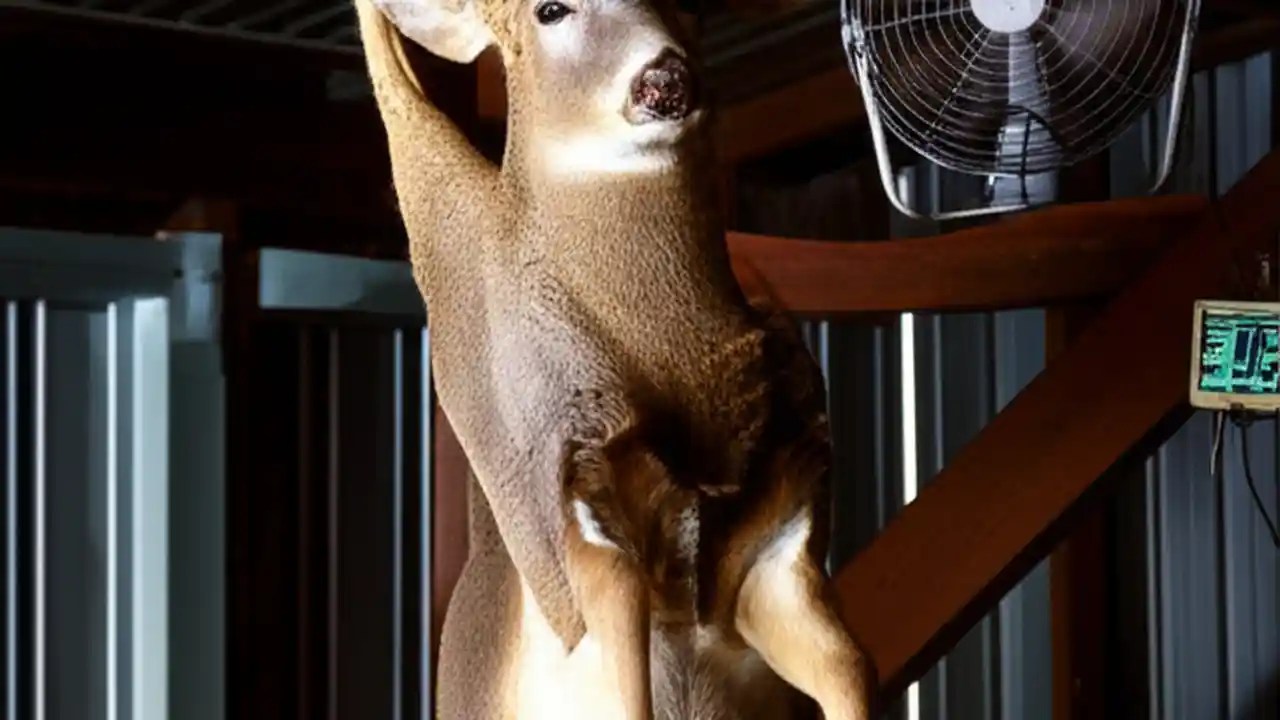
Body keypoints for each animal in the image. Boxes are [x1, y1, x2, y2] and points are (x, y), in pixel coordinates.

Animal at [354, 0, 874, 717]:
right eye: (549, 10)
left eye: (686, 6)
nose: (667, 77)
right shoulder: (578, 495)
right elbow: (629, 672)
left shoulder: (789, 521)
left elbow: (849, 663)